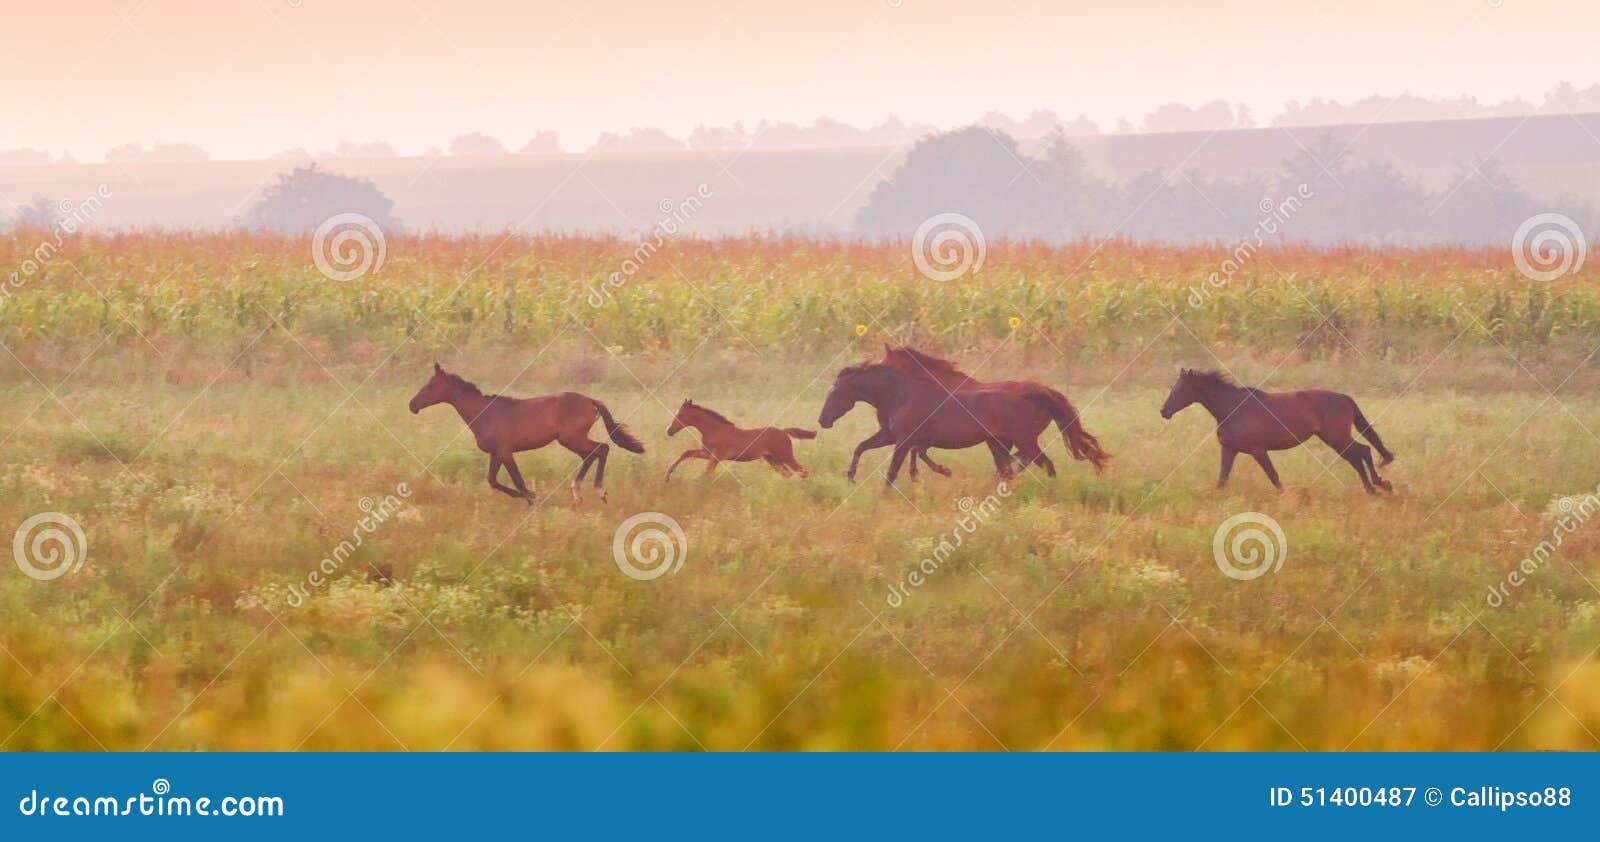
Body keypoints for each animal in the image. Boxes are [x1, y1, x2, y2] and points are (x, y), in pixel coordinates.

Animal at [408, 363, 645, 503]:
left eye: (430, 385)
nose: (412, 405)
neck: (484, 414)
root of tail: (592, 401)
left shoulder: (505, 452)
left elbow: (517, 481)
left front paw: (532, 499)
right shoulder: (496, 454)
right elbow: (493, 481)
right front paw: (529, 496)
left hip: (571, 439)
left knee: (601, 449)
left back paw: (598, 491)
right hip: (572, 440)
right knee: (592, 454)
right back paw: (577, 492)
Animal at [664, 400, 815, 479]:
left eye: (681, 415)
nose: (669, 431)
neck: (714, 430)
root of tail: (783, 431)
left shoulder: (717, 456)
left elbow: (707, 472)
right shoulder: (707, 453)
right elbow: (687, 453)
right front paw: (667, 475)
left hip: (785, 456)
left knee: (802, 471)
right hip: (773, 459)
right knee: (787, 473)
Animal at [818, 362, 1082, 486]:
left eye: (835, 392)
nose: (822, 420)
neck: (900, 394)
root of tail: (1041, 392)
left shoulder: (903, 441)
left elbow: (892, 472)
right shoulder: (891, 436)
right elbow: (861, 447)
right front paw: (851, 477)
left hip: (1025, 441)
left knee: (1046, 465)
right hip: (1000, 443)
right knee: (1008, 470)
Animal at [1159, 368, 1394, 494]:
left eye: (1180, 389)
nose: (1163, 411)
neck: (1231, 408)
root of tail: (1346, 398)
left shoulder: (1258, 451)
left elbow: (1274, 477)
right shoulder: (1229, 449)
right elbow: (1222, 478)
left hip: (1336, 438)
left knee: (1362, 452)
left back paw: (1379, 486)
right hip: (1336, 439)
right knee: (1359, 455)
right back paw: (1375, 488)